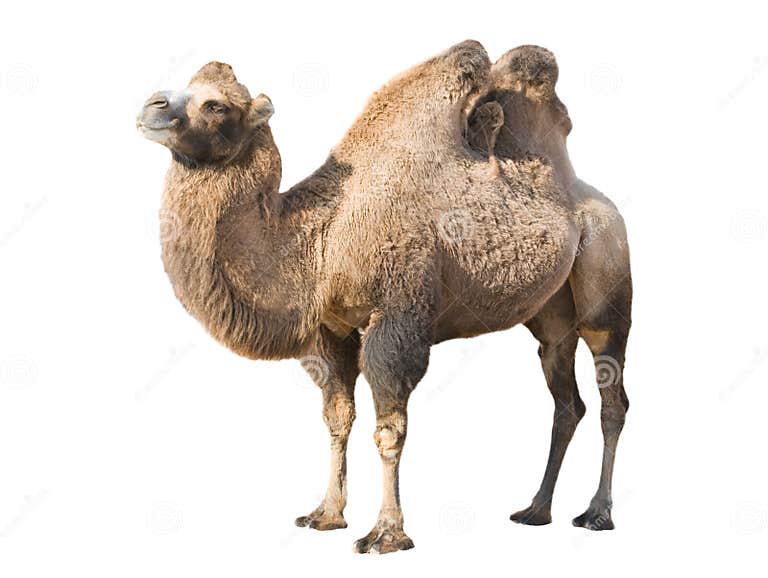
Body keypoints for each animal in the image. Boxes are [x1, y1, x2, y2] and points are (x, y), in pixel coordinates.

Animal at [136, 40, 631, 554]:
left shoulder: (398, 317)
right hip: (552, 317)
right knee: (566, 399)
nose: (152, 105)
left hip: (608, 267)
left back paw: (597, 513)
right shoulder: (330, 330)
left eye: (216, 105)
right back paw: (536, 510)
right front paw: (326, 514)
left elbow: (389, 431)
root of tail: (593, 198)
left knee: (612, 393)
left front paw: (386, 533)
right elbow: (337, 418)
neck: (321, 240)